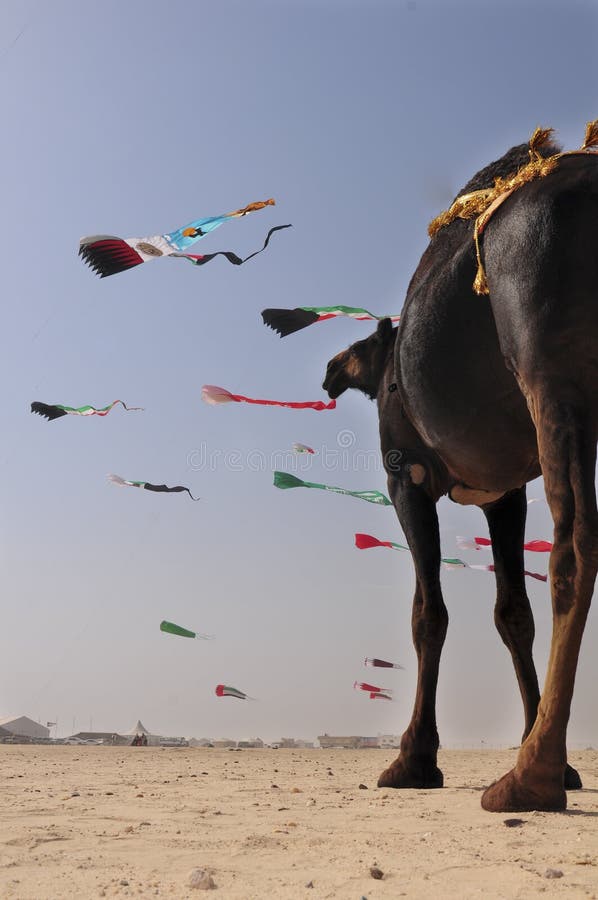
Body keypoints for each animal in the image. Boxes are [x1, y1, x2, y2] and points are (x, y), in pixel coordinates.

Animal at [323, 132, 598, 812]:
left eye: (358, 353)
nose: (331, 371)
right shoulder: (506, 490)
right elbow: (512, 613)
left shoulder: (407, 475)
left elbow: (429, 612)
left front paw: (412, 757)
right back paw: (540, 760)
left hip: (553, 368)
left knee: (575, 543)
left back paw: (530, 776)